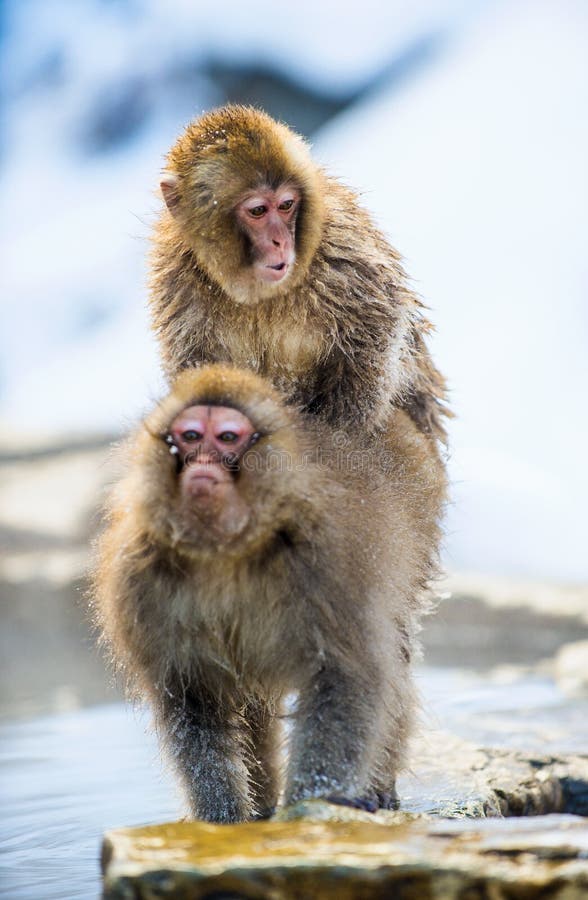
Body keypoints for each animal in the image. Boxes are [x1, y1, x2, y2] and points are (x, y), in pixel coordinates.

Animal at [91, 365, 446, 822]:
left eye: (227, 437)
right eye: (191, 436)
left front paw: (310, 805)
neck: (227, 547)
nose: (202, 463)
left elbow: (346, 677)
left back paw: (378, 790)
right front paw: (222, 820)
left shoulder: (331, 560)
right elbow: (191, 699)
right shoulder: (138, 577)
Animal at [150, 104, 450, 441]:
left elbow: (377, 328)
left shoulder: (342, 254)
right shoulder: (177, 286)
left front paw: (340, 425)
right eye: (258, 211)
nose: (281, 241)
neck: (261, 295)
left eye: (286, 205)